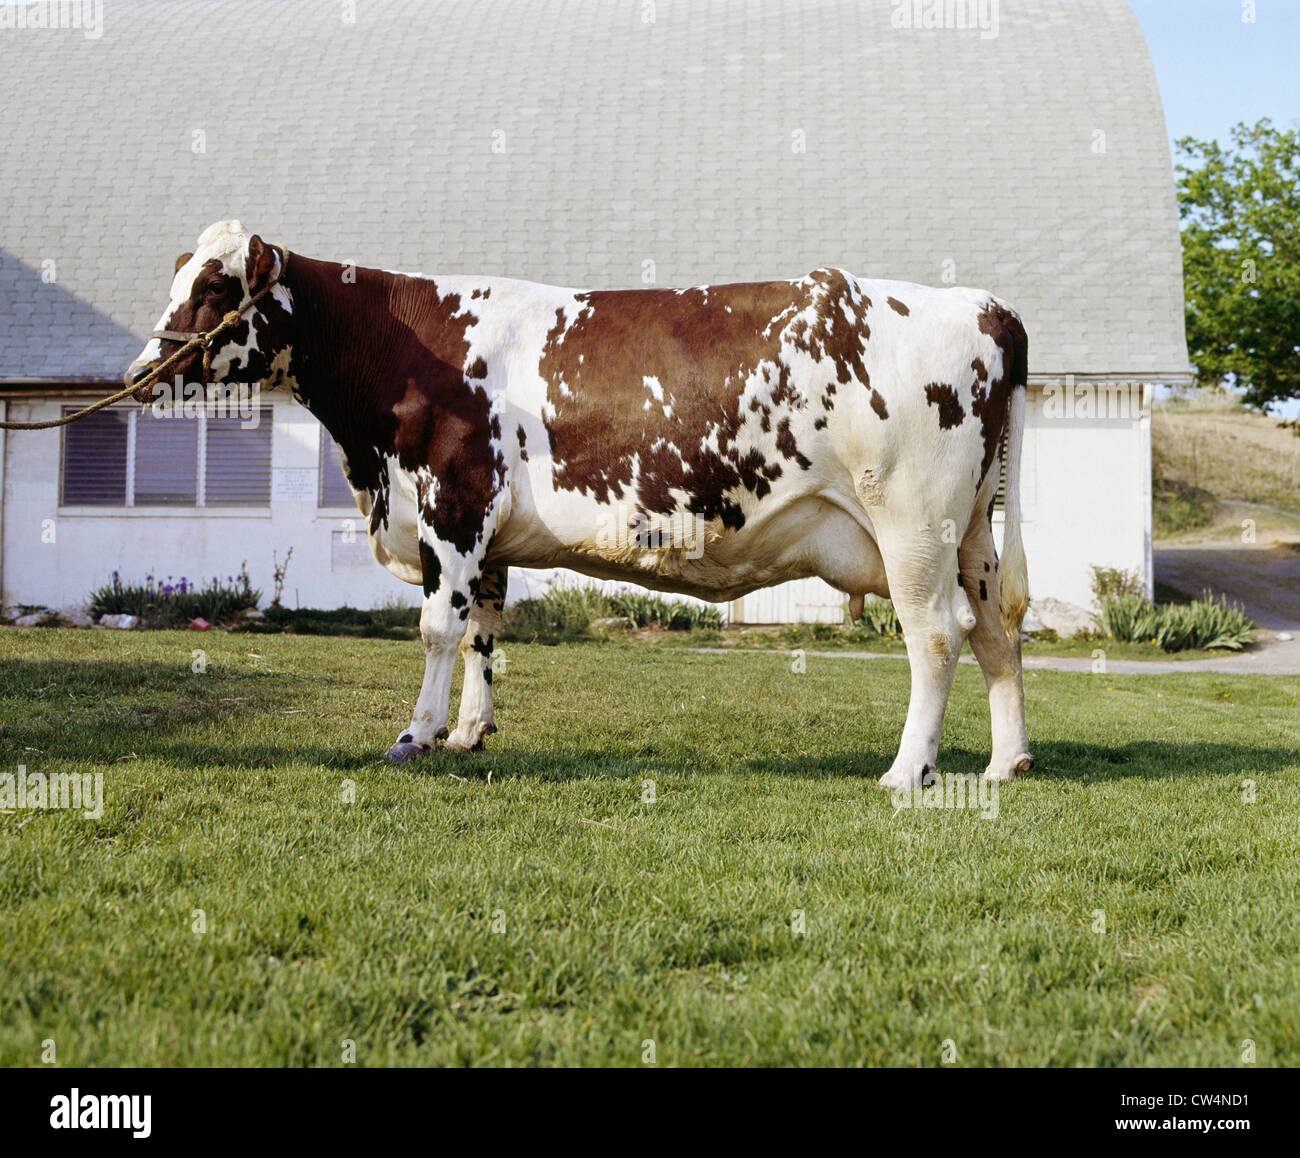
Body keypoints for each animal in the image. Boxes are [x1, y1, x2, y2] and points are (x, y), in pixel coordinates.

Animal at [125, 220, 1033, 789]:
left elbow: (437, 629)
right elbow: (484, 631)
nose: (139, 372)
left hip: (912, 522)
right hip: (972, 533)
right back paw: (1007, 762)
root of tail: (985, 305)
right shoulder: (485, 539)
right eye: (176, 277)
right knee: (996, 626)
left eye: (217, 285)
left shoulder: (451, 504)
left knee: (936, 634)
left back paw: (908, 771)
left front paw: (416, 735)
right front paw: (469, 732)